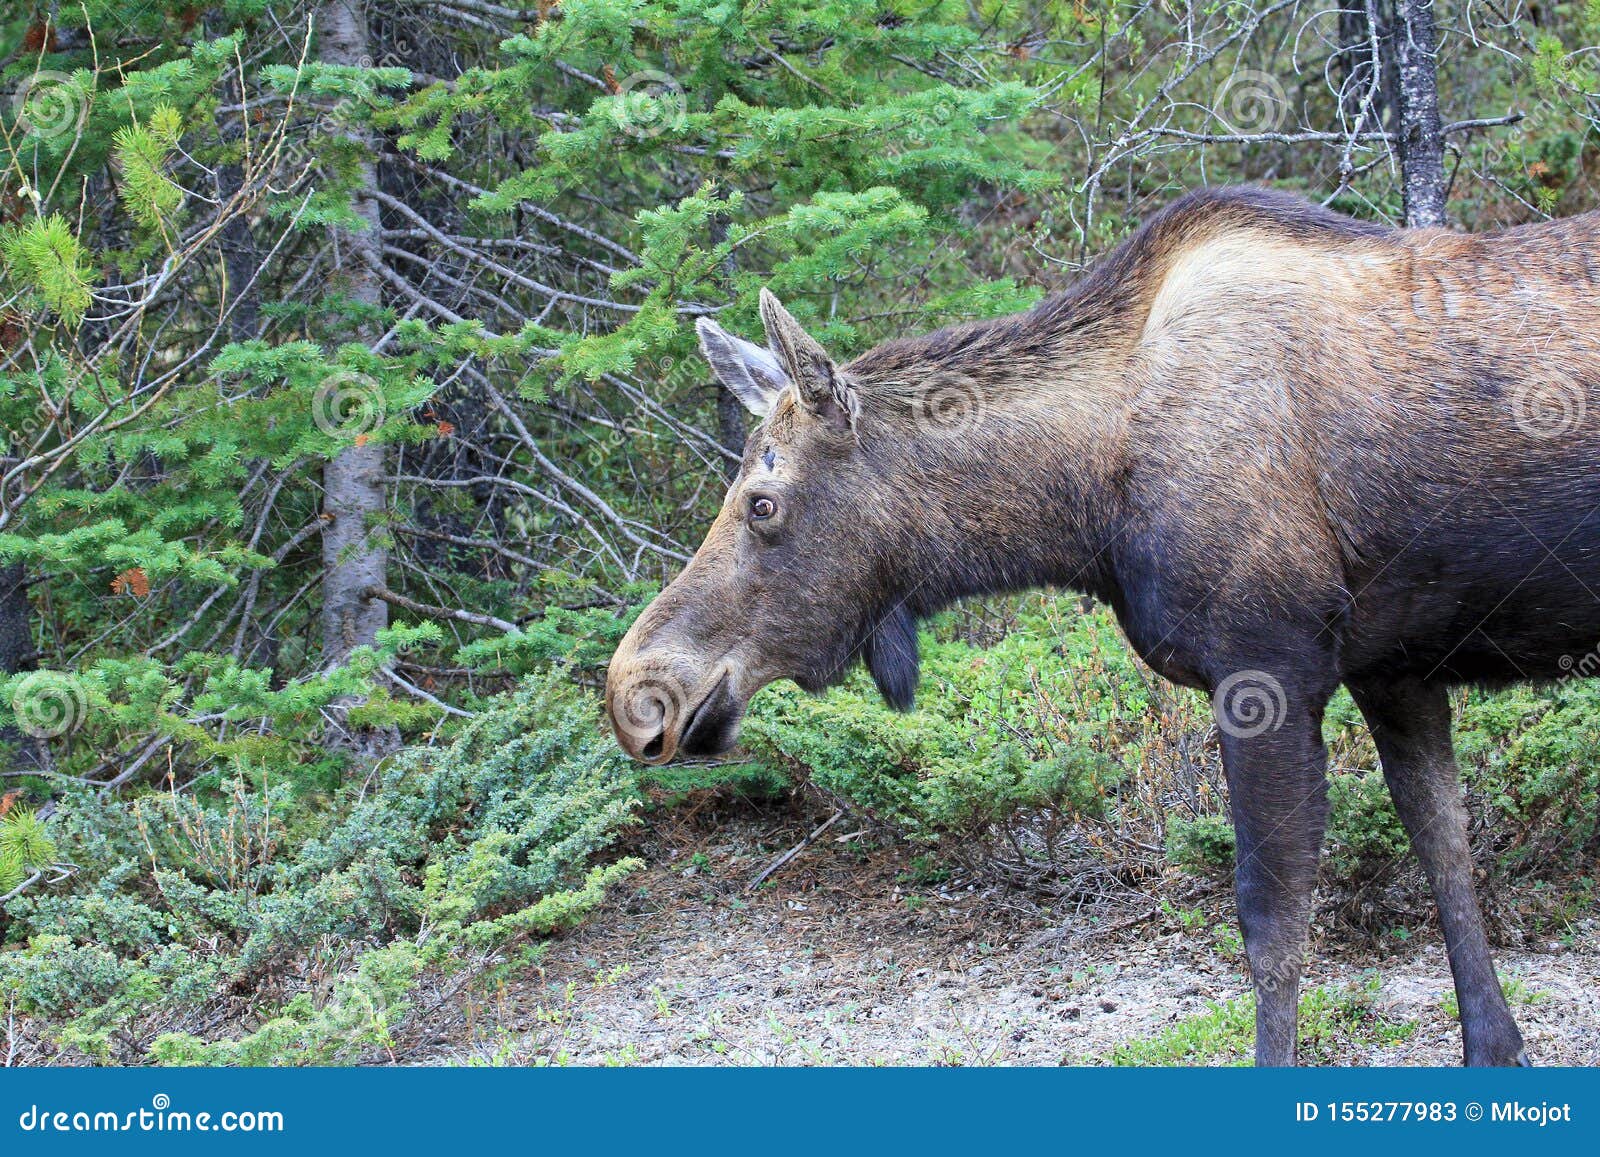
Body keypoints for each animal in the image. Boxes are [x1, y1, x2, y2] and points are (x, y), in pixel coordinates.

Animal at [606, 185, 1600, 1065]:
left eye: (762, 504)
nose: (637, 689)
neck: (1086, 506)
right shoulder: (1394, 667)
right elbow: (1446, 847)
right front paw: (1497, 1048)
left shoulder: (1266, 669)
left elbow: (1273, 924)